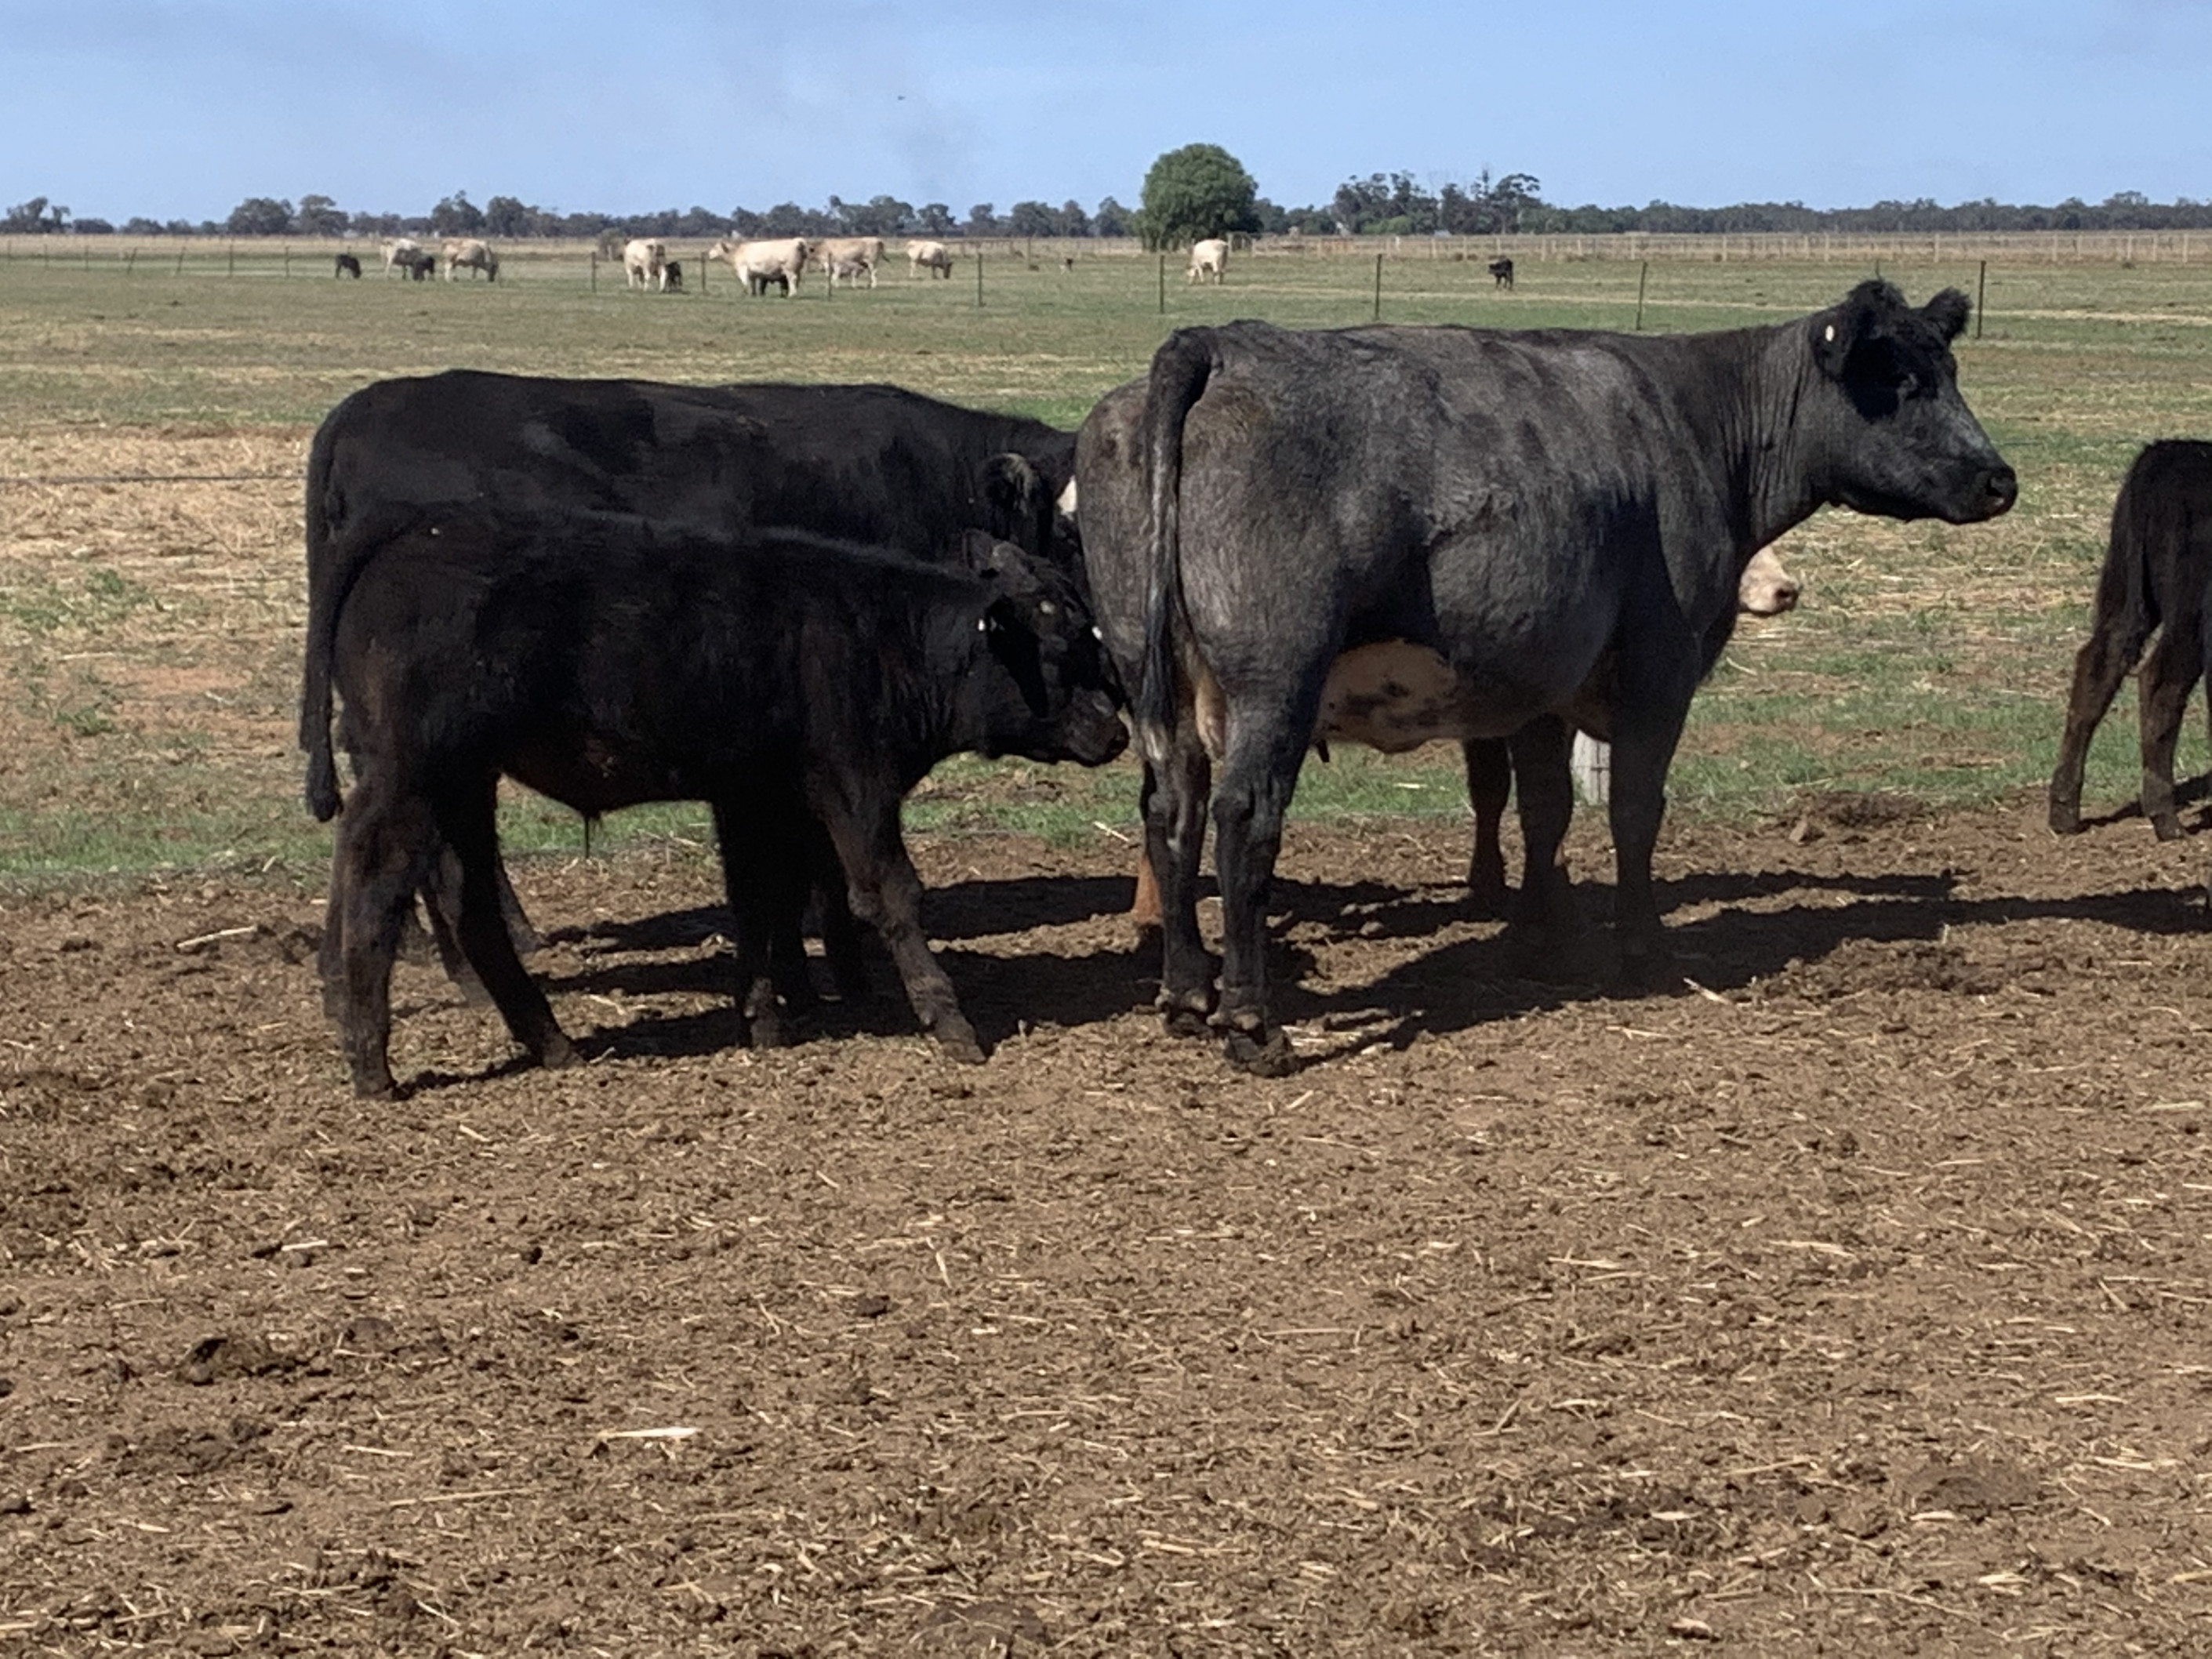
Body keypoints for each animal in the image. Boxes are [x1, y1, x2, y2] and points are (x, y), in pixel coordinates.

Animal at [316, 507, 1125, 1098]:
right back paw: (371, 1063)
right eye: (1058, 650)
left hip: (464, 784)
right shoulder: (853, 780)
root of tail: (407, 538)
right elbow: (887, 893)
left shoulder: (752, 793)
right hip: (413, 778)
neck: (878, 636)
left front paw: (763, 1020)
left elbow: (759, 903)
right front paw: (949, 1021)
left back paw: (550, 1042)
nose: (1113, 730)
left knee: (469, 903)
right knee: (375, 886)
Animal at [1076, 281, 2015, 1073]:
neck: (1693, 420)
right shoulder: (1658, 671)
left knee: (1171, 812)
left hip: (1162, 683)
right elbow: (1634, 809)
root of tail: (1220, 344)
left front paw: (1539, 934)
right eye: (1898, 378)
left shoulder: (1539, 681)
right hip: (1274, 681)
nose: (1999, 479)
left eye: (1949, 369)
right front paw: (1639, 943)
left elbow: (1543, 809)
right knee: (1243, 819)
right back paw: (1249, 1022)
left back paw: (1185, 995)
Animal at [2049, 440, 2212, 841]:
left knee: (2098, 663)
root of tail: (2166, 453)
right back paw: (2166, 819)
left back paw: (2064, 811)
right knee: (2161, 681)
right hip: (2188, 613)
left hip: (2124, 589)